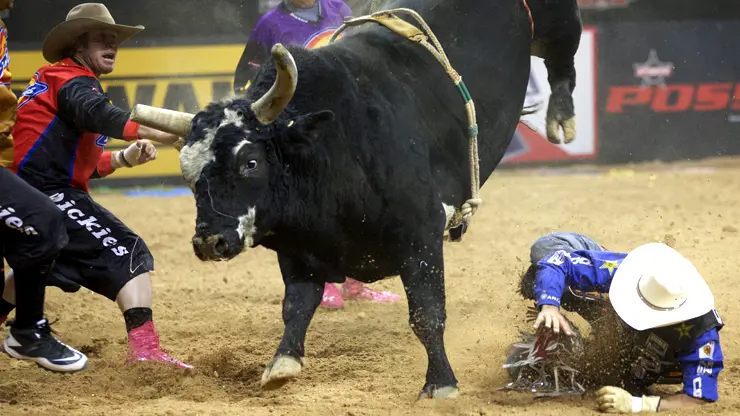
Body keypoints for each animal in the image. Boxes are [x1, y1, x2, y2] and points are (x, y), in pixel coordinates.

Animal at [132, 0, 582, 399]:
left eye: (250, 162)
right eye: (189, 176)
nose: (210, 241)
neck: (336, 145)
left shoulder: (420, 236)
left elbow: (427, 313)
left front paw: (440, 383)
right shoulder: (299, 248)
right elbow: (297, 306)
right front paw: (282, 364)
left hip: (554, 17)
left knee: (564, 52)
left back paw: (561, 117)